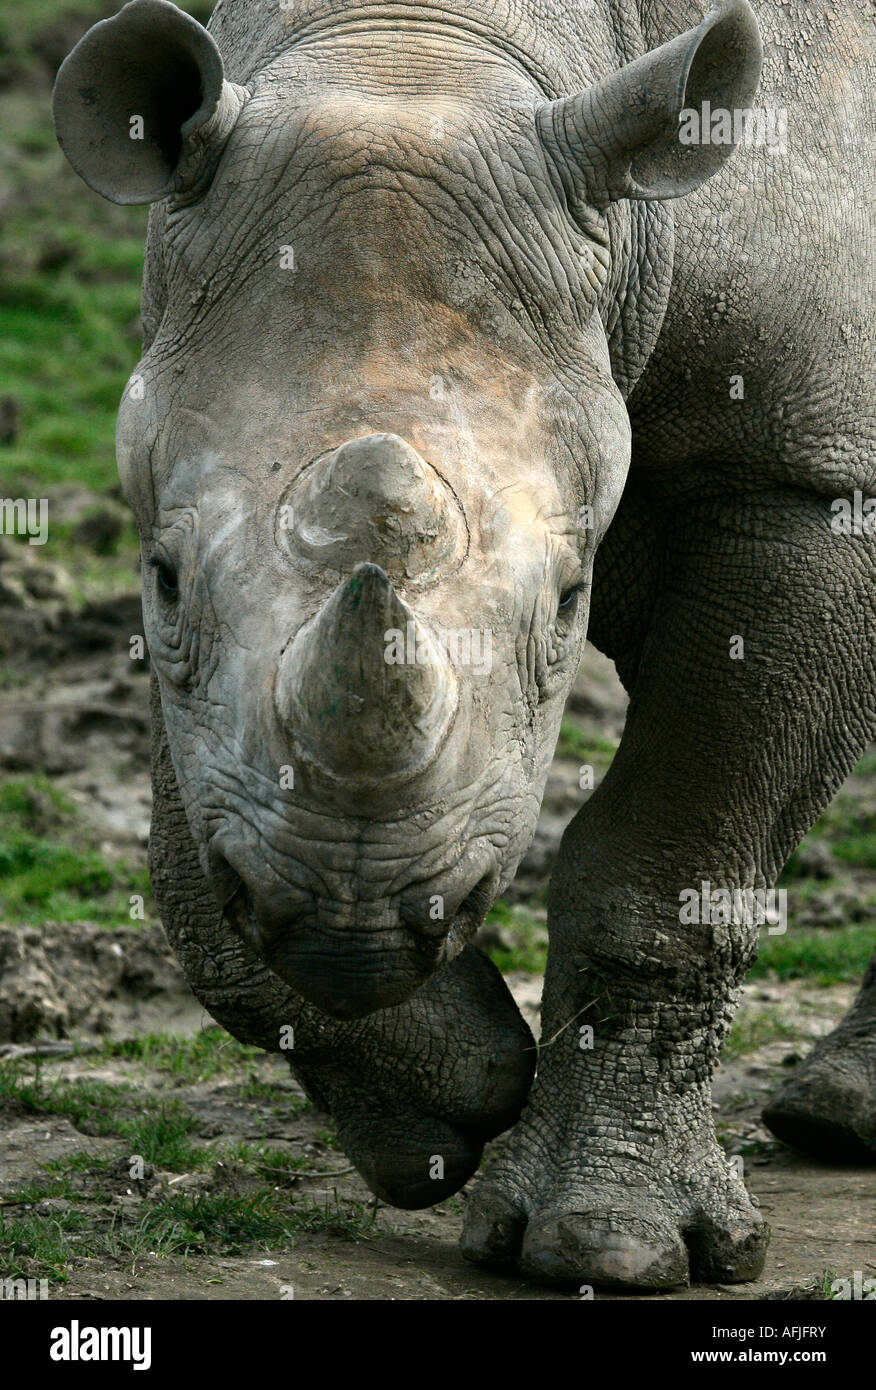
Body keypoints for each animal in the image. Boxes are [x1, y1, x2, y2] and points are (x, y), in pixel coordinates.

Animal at [53, 0, 875, 1289]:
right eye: (164, 579)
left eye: (568, 604)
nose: (354, 914)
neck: (411, 49)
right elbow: (197, 873)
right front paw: (451, 1101)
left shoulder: (806, 475)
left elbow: (673, 856)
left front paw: (606, 1243)